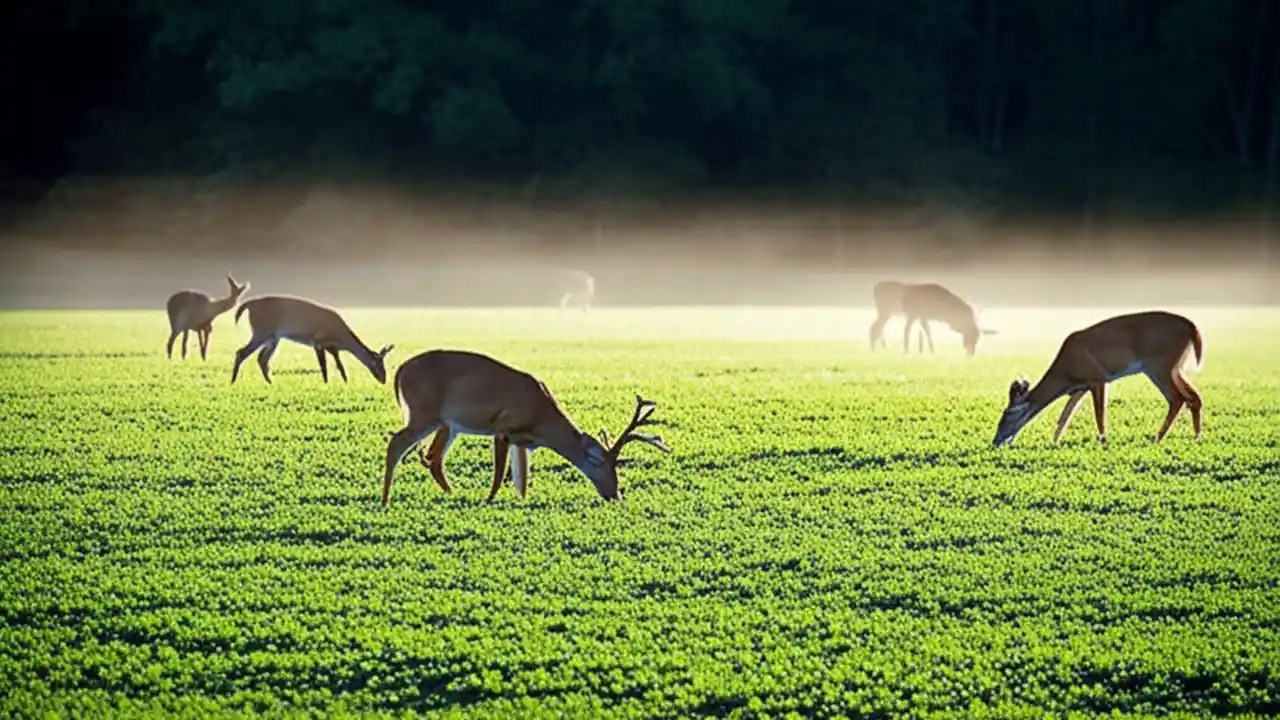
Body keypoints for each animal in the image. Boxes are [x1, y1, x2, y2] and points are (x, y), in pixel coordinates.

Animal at [230, 295, 393, 385]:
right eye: (377, 363)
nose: (384, 379)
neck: (342, 339)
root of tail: (248, 305)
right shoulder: (318, 341)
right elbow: (323, 366)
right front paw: (326, 383)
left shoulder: (332, 347)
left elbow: (339, 365)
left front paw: (345, 381)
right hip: (261, 331)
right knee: (241, 352)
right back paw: (233, 381)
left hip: (273, 337)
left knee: (262, 359)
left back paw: (270, 382)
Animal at [382, 350, 672, 507]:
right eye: (601, 464)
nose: (616, 495)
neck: (540, 418)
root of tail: (400, 371)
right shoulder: (503, 427)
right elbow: (500, 474)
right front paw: (490, 501)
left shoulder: (523, 442)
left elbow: (521, 480)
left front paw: (519, 502)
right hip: (424, 413)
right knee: (397, 444)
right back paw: (384, 501)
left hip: (447, 424)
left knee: (434, 458)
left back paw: (453, 494)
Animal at [993, 311, 1205, 448]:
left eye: (1006, 415)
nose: (995, 442)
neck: (1065, 373)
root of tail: (1193, 328)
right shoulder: (1080, 387)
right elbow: (1064, 416)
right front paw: (1054, 442)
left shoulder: (1098, 378)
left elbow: (1099, 414)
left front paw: (1103, 442)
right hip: (1174, 368)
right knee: (1194, 397)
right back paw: (1195, 437)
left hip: (1160, 365)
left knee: (1177, 398)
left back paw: (1157, 438)